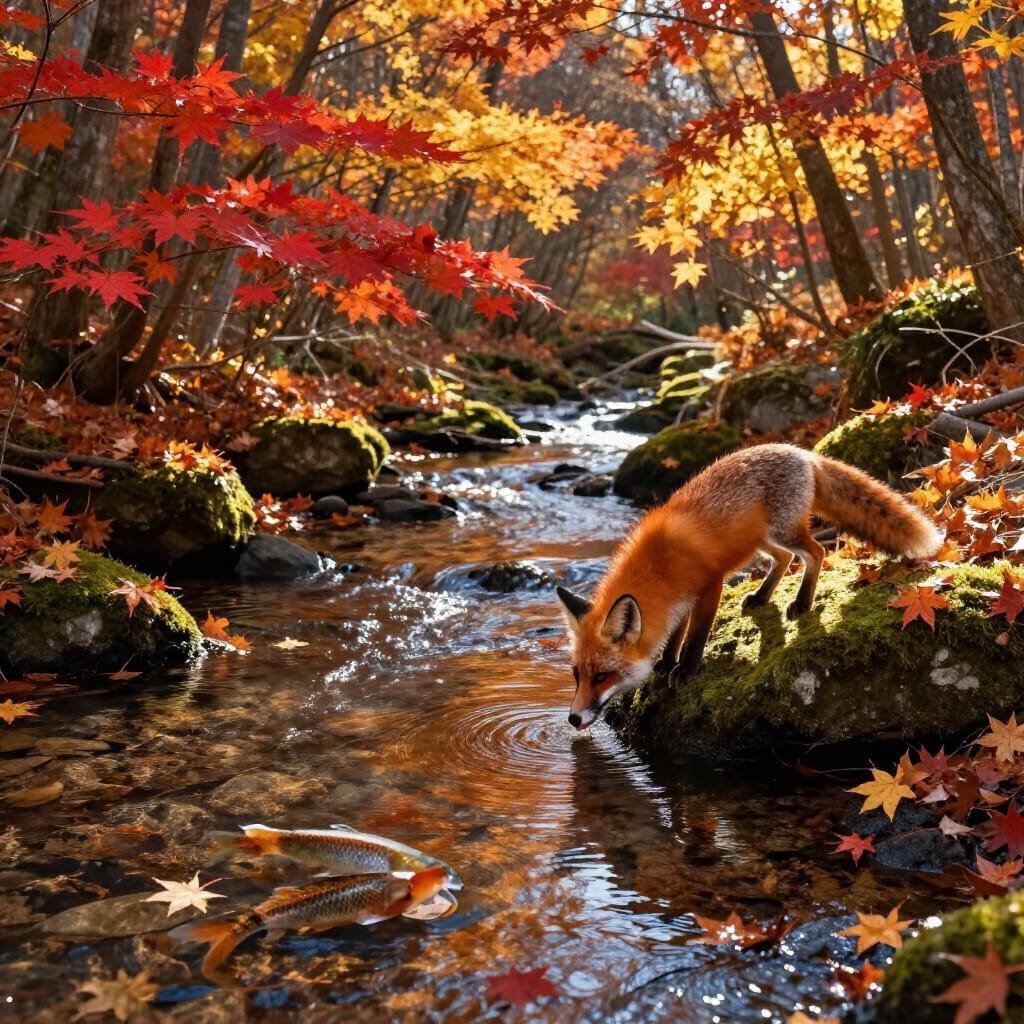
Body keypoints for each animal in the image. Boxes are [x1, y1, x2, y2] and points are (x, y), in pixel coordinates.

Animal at [556, 443, 942, 730]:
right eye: (577, 674)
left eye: (603, 676)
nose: (573, 719)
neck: (659, 567)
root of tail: (803, 452)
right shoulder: (678, 600)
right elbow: (675, 633)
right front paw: (666, 662)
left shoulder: (709, 584)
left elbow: (696, 635)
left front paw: (686, 670)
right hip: (761, 540)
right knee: (784, 559)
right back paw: (760, 596)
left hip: (783, 531)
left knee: (815, 553)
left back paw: (802, 603)